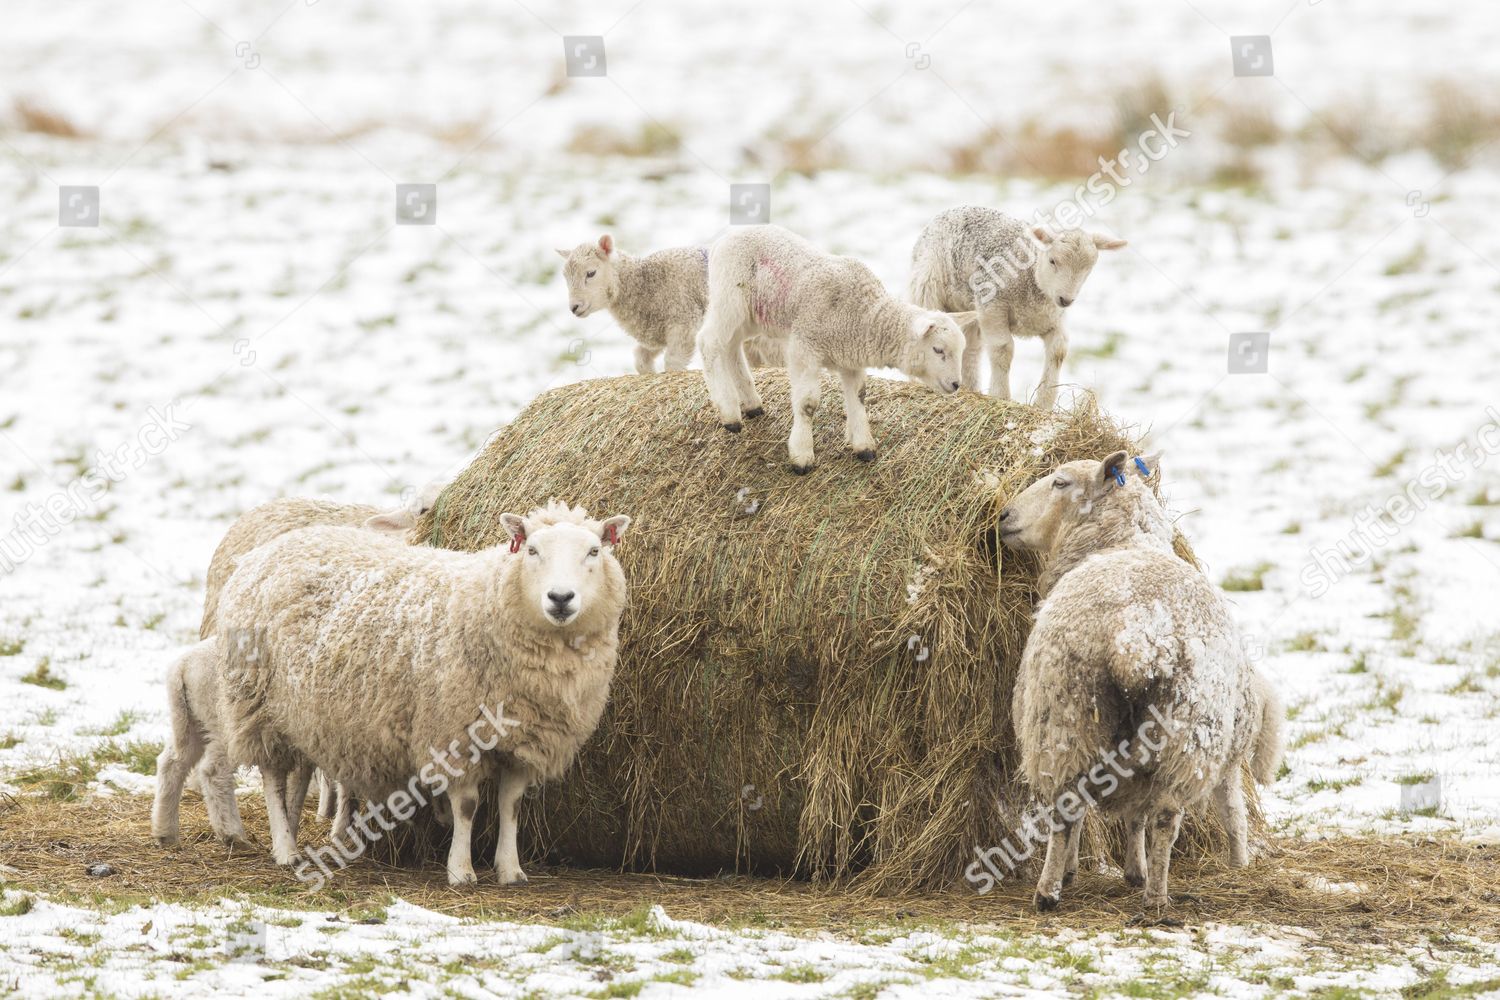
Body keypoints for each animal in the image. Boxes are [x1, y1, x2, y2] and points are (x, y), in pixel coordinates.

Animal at [214, 501, 631, 886]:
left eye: (594, 551)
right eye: (532, 550)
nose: (560, 598)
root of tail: (264, 552)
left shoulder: (524, 741)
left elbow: (510, 805)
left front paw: (510, 870)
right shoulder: (454, 733)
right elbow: (467, 805)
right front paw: (461, 871)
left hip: (298, 713)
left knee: (297, 776)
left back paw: (293, 831)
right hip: (255, 701)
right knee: (272, 777)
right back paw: (285, 848)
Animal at [558, 233, 783, 373]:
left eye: (591, 273)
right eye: (565, 277)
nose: (574, 307)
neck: (645, 283)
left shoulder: (684, 324)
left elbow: (672, 364)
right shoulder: (655, 333)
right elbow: (640, 359)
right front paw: (650, 374)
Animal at [696, 224, 972, 473]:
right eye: (938, 349)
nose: (956, 384)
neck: (865, 316)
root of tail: (724, 238)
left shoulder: (850, 357)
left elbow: (859, 396)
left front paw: (864, 447)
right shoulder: (804, 347)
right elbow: (807, 404)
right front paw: (802, 456)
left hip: (751, 314)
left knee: (730, 346)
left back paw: (751, 405)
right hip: (729, 295)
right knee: (709, 341)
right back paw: (729, 413)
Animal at [909, 207, 1126, 409]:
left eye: (1088, 269)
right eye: (1052, 261)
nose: (1066, 299)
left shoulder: (1052, 318)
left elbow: (1059, 351)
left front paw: (1044, 403)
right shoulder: (993, 307)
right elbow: (1003, 350)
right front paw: (1001, 395)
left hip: (968, 307)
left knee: (970, 348)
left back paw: (971, 388)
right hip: (928, 286)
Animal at [998, 451, 1284, 918]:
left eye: (1060, 482)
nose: (1003, 517)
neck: (1125, 543)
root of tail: (1137, 634)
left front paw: (1075, 871)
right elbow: (1136, 814)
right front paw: (1135, 870)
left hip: (1064, 716)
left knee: (1067, 808)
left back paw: (1047, 891)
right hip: (1185, 730)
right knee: (1165, 815)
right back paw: (1156, 896)